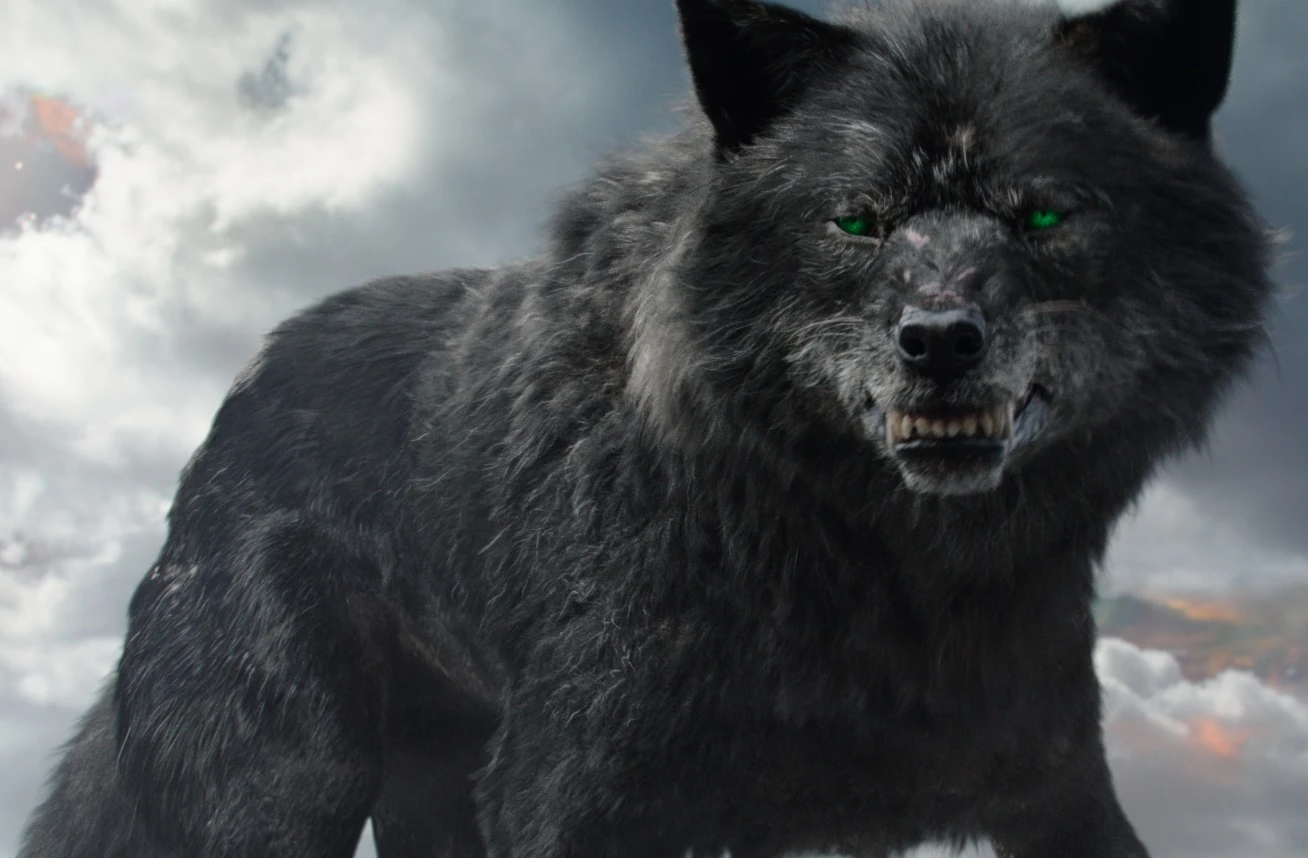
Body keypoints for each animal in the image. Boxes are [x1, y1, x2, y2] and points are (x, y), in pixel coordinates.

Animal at [19, 0, 1272, 856]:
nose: (938, 339)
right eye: (857, 222)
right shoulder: (575, 795)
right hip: (286, 791)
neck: (883, 571)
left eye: (1045, 214)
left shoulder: (1051, 782)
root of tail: (235, 401)